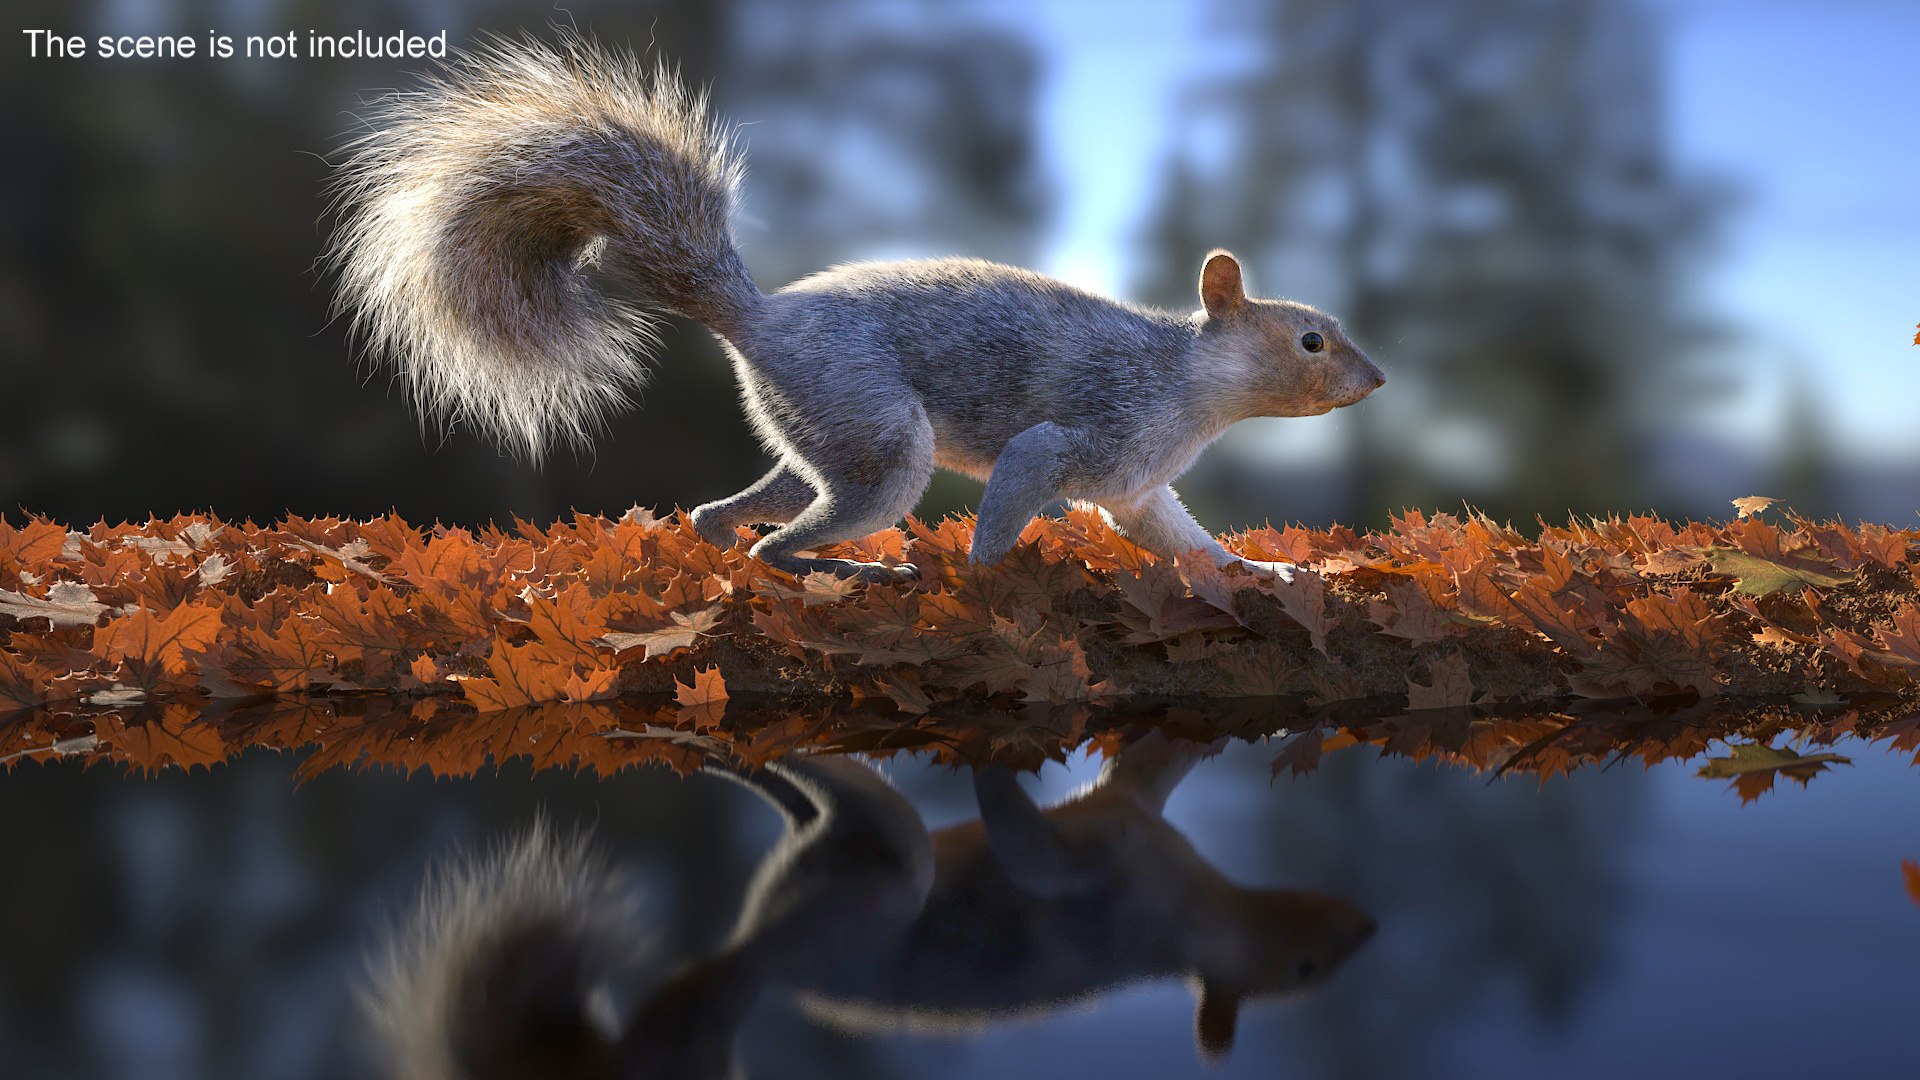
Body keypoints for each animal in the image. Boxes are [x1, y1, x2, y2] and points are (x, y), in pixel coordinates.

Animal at [330, 34, 1385, 583]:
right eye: (1309, 339)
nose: (1376, 379)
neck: (1191, 389)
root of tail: (758, 323)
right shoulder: (1081, 433)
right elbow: (1014, 498)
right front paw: (994, 578)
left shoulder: (1137, 486)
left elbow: (1184, 542)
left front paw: (1266, 573)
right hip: (876, 432)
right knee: (790, 541)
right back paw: (859, 569)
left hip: (823, 435)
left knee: (733, 517)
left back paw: (741, 544)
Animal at [360, 738, 1376, 1079]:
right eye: (1303, 968)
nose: (1367, 929)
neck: (1189, 913)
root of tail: (756, 951)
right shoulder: (1102, 870)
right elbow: (1031, 849)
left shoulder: (1136, 810)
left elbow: (1156, 760)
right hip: (888, 876)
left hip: (853, 845)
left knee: (813, 797)